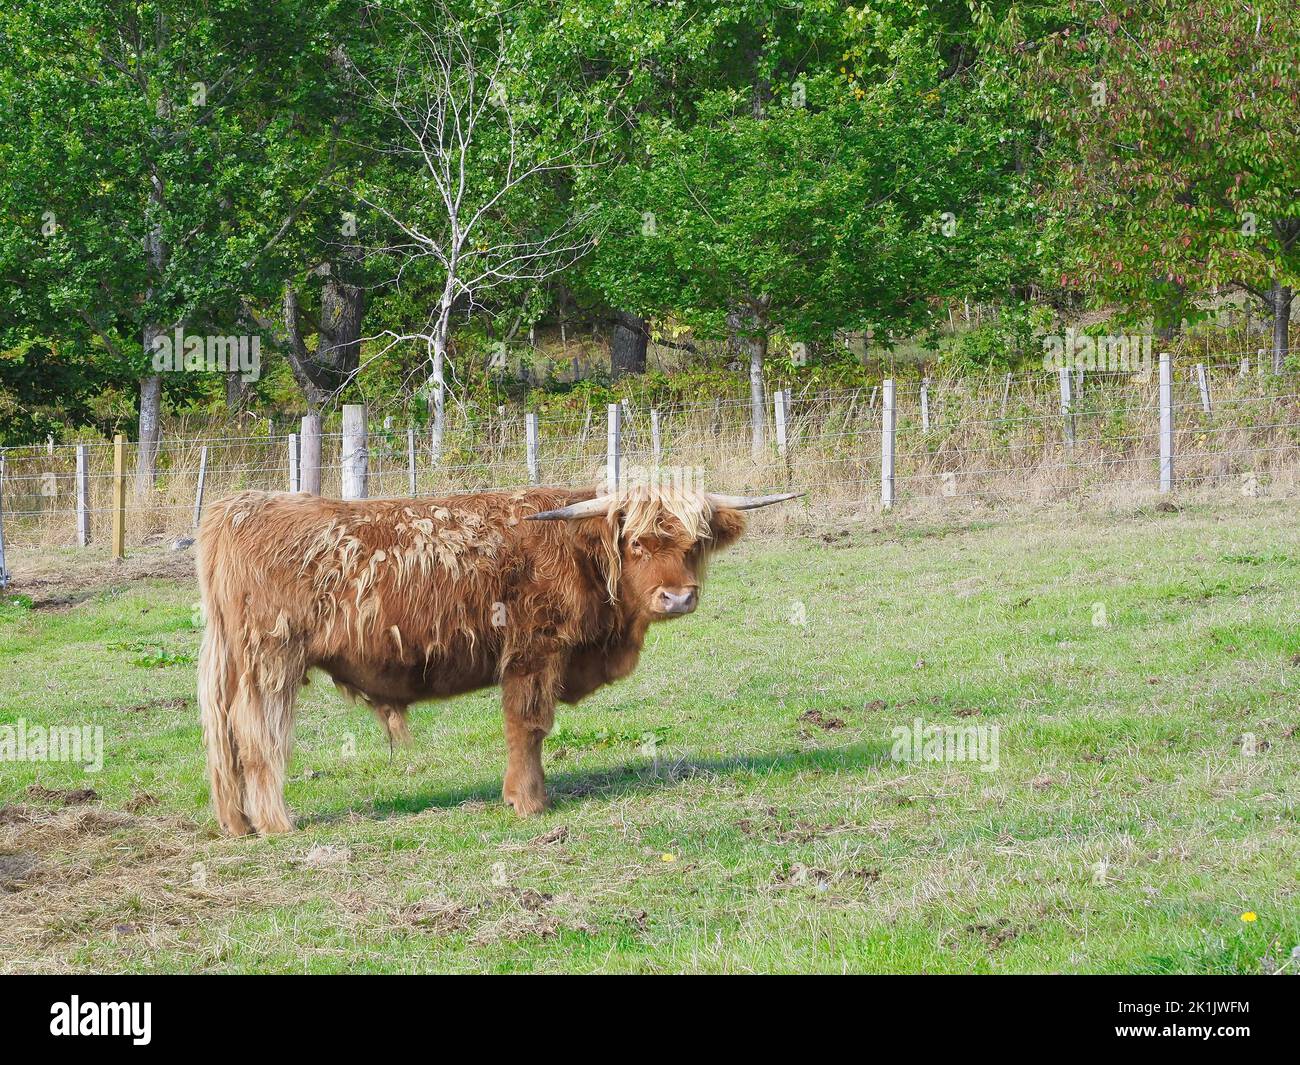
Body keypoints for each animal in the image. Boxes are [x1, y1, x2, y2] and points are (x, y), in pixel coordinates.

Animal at [196, 485, 799, 835]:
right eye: (637, 545)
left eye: (693, 543)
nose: (678, 598)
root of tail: (237, 507)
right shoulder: (534, 650)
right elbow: (526, 726)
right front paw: (529, 801)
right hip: (271, 660)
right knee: (256, 735)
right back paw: (276, 823)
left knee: (224, 737)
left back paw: (237, 823)